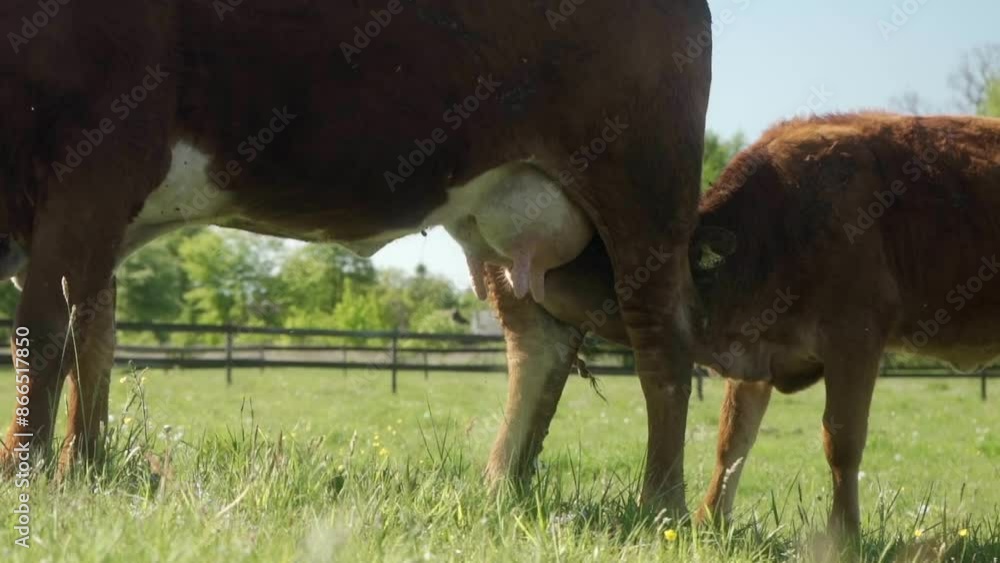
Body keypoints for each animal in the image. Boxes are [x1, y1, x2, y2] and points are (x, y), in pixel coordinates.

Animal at [0, 0, 712, 514]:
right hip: (501, 209)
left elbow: (46, 331)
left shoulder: (97, 164)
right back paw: (498, 487)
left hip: (642, 186)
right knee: (539, 340)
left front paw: (18, 476)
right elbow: (93, 336)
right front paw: (81, 469)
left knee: (664, 343)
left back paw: (662, 507)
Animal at [537, 112, 1000, 543]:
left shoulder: (855, 339)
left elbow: (842, 441)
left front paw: (843, 534)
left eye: (603, 247)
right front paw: (710, 521)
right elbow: (732, 441)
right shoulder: (755, 355)